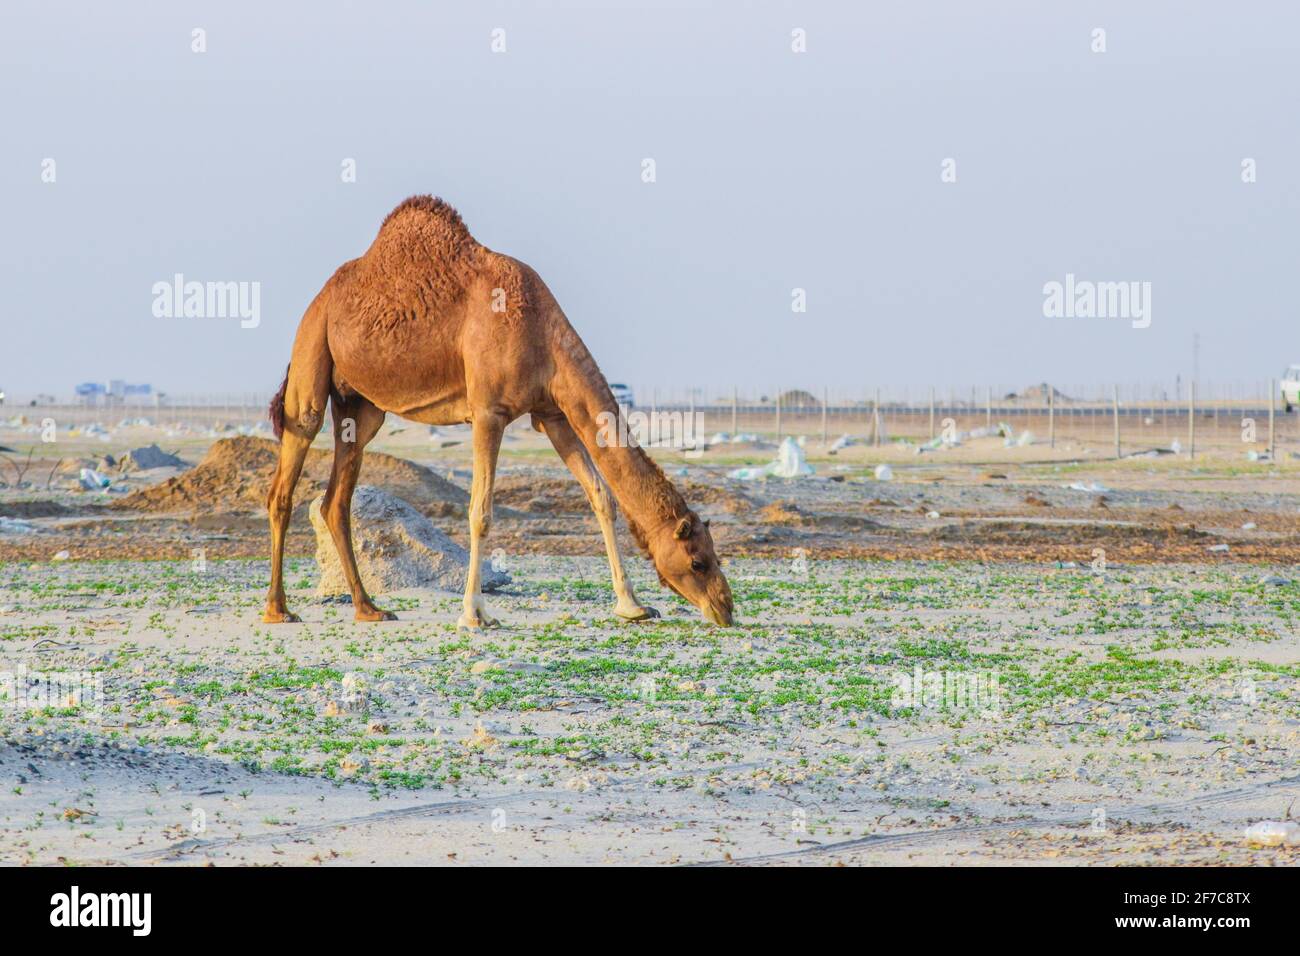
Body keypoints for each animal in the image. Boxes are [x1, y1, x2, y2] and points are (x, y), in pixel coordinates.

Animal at [263, 195, 734, 629]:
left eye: (715, 555)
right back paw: (278, 609)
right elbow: (480, 512)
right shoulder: (488, 411)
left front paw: (632, 605)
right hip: (311, 348)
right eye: (697, 561)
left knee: (337, 498)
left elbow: (601, 495)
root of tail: (322, 296)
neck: (541, 331)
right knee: (288, 472)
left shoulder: (553, 413)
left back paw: (369, 608)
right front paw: (474, 614)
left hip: (360, 406)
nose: (726, 608)